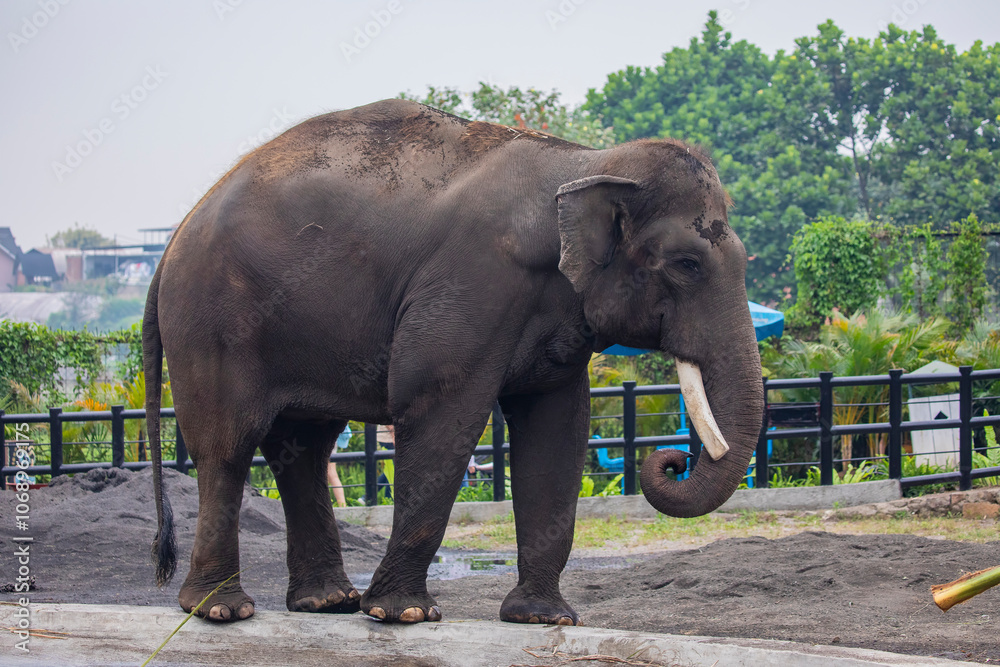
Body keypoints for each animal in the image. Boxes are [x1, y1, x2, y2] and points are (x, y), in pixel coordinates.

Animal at [144, 98, 764, 626]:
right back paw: (222, 610)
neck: (586, 161)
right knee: (228, 444)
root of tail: (173, 239)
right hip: (215, 321)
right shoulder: (471, 282)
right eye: (687, 264)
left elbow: (557, 427)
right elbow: (439, 408)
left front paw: (544, 618)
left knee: (304, 446)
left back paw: (326, 602)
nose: (672, 461)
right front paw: (402, 615)